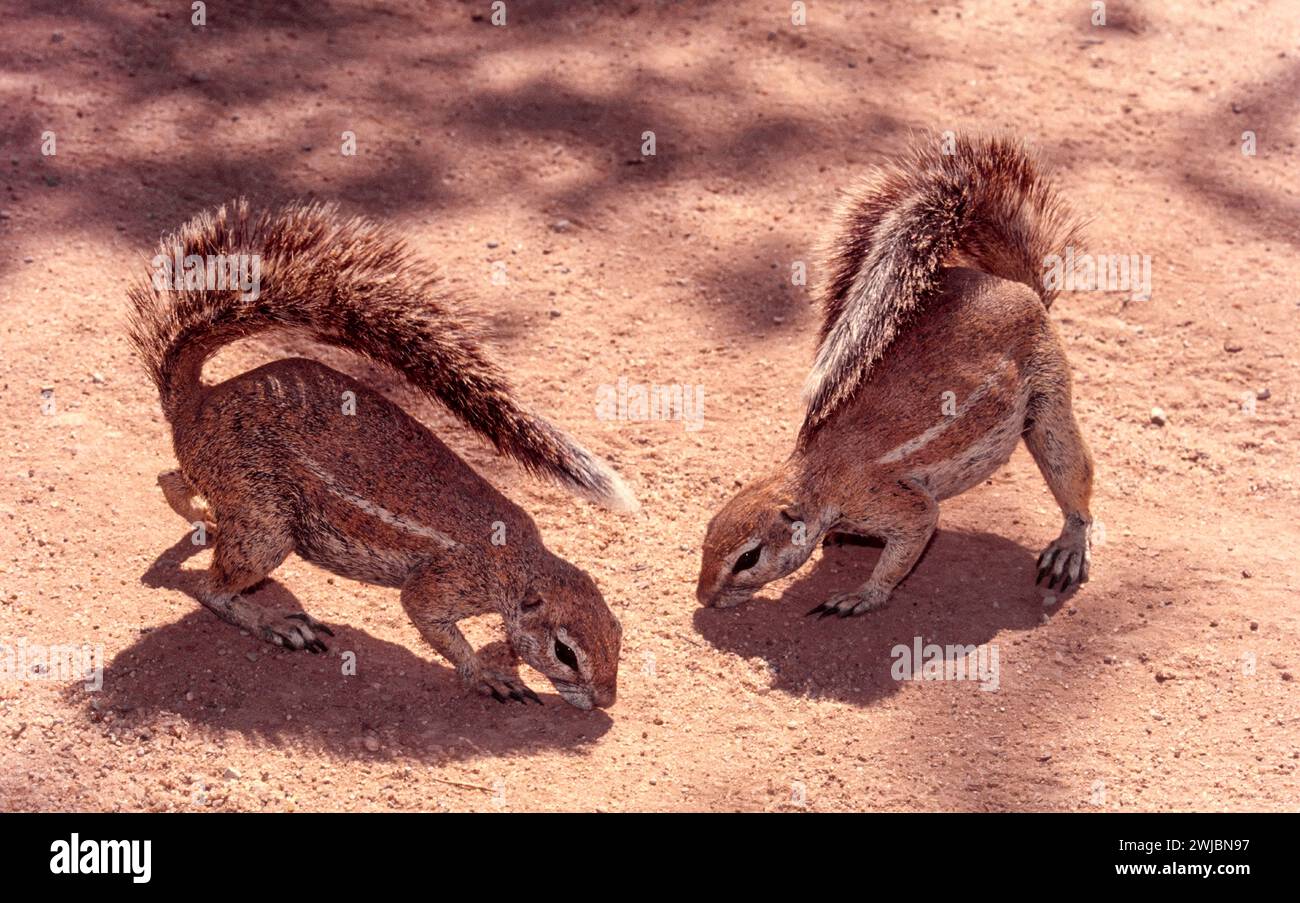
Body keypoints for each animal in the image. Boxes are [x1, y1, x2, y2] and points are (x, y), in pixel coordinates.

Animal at [128, 200, 636, 709]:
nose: (607, 700)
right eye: (565, 652)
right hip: (265, 527)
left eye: (618, 631)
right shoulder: (446, 582)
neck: (518, 561)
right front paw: (488, 676)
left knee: (170, 479)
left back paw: (203, 519)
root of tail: (196, 400)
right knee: (210, 590)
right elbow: (430, 619)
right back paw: (277, 623)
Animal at [696, 134, 1094, 617]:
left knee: (1074, 476)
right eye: (706, 533)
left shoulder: (894, 502)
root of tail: (1021, 287)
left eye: (748, 558)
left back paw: (1069, 546)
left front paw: (858, 596)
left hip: (1049, 401)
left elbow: (909, 542)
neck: (815, 476)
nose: (703, 598)